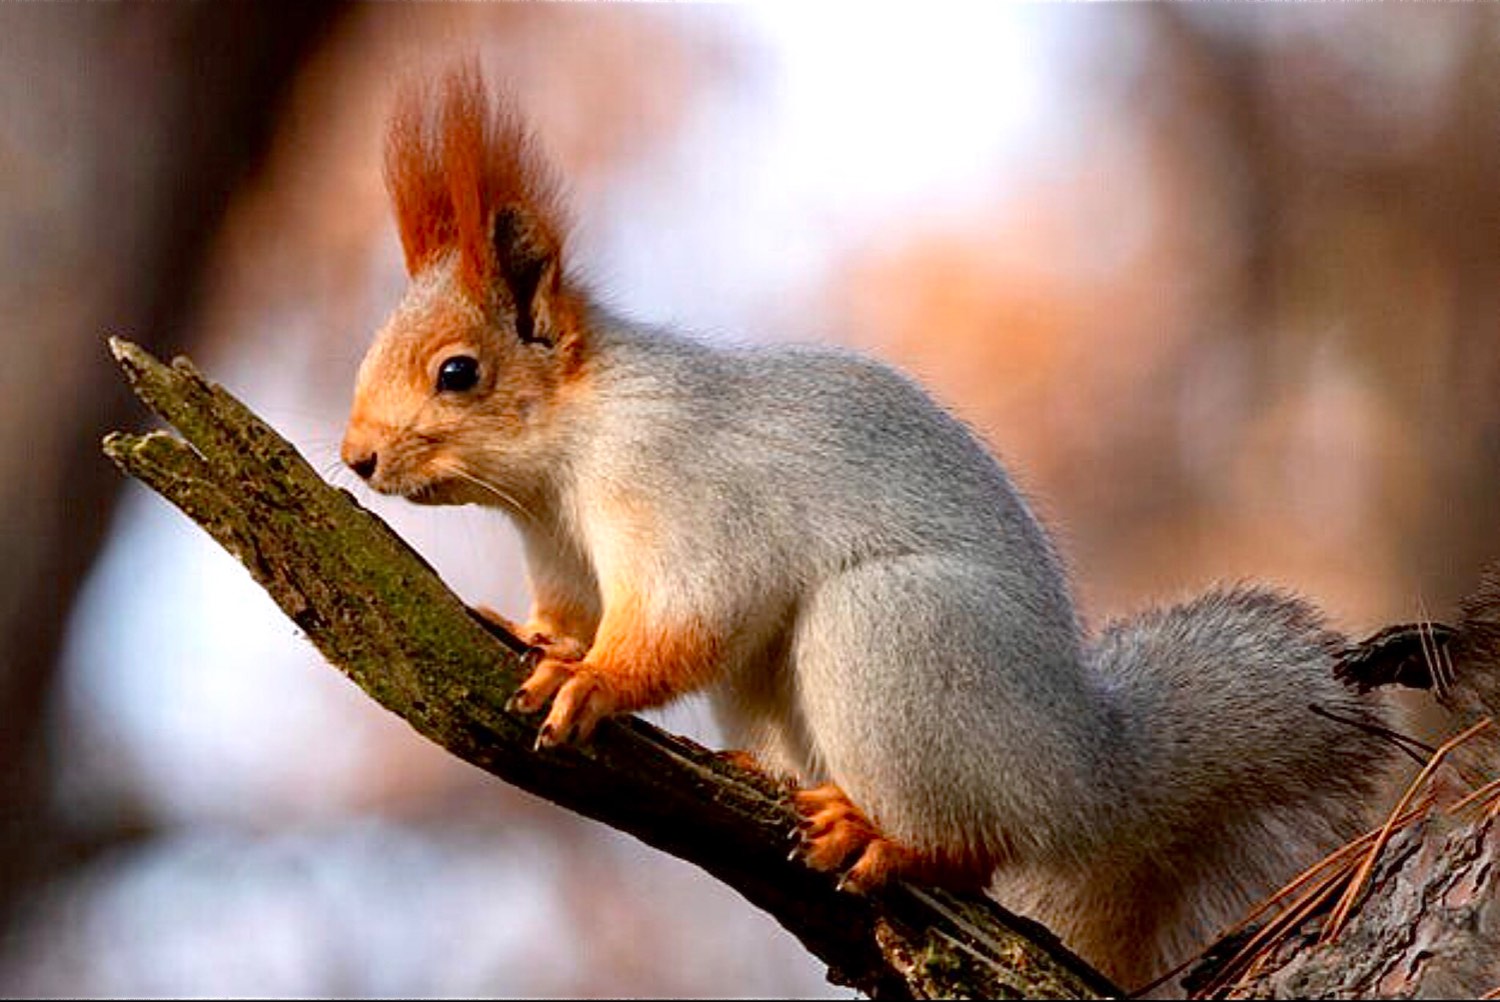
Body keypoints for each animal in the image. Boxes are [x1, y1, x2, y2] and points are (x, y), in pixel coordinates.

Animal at [340, 65, 1396, 993]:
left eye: (458, 373)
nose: (356, 458)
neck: (564, 462)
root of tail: (1091, 775)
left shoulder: (680, 487)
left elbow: (692, 612)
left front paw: (595, 681)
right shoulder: (560, 550)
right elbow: (570, 610)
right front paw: (537, 637)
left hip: (894, 633)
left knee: (980, 844)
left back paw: (888, 838)